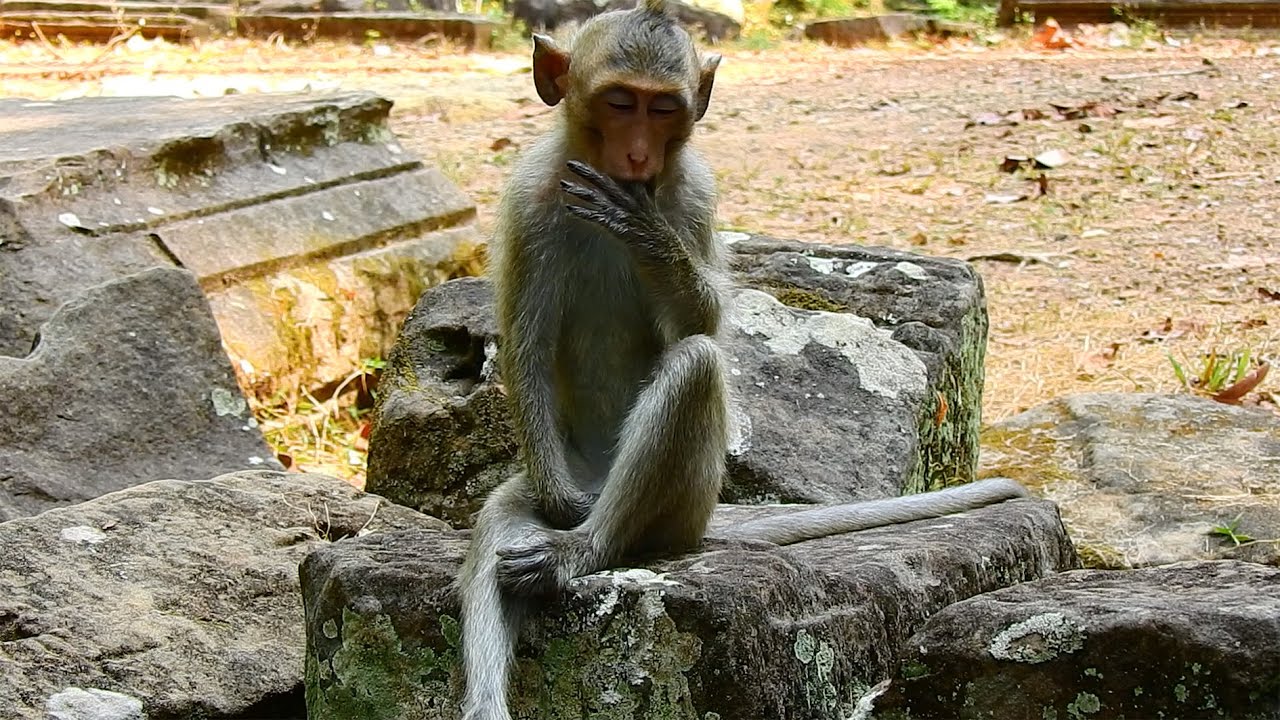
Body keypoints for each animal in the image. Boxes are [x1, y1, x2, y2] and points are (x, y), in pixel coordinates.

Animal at [455, 3, 1028, 718]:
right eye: (619, 103)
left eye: (663, 109)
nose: (638, 154)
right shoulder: (530, 198)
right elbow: (526, 347)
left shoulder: (696, 194)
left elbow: (700, 328)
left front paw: (646, 234)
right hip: (558, 468)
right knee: (497, 534)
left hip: (688, 503)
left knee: (695, 367)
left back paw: (582, 548)